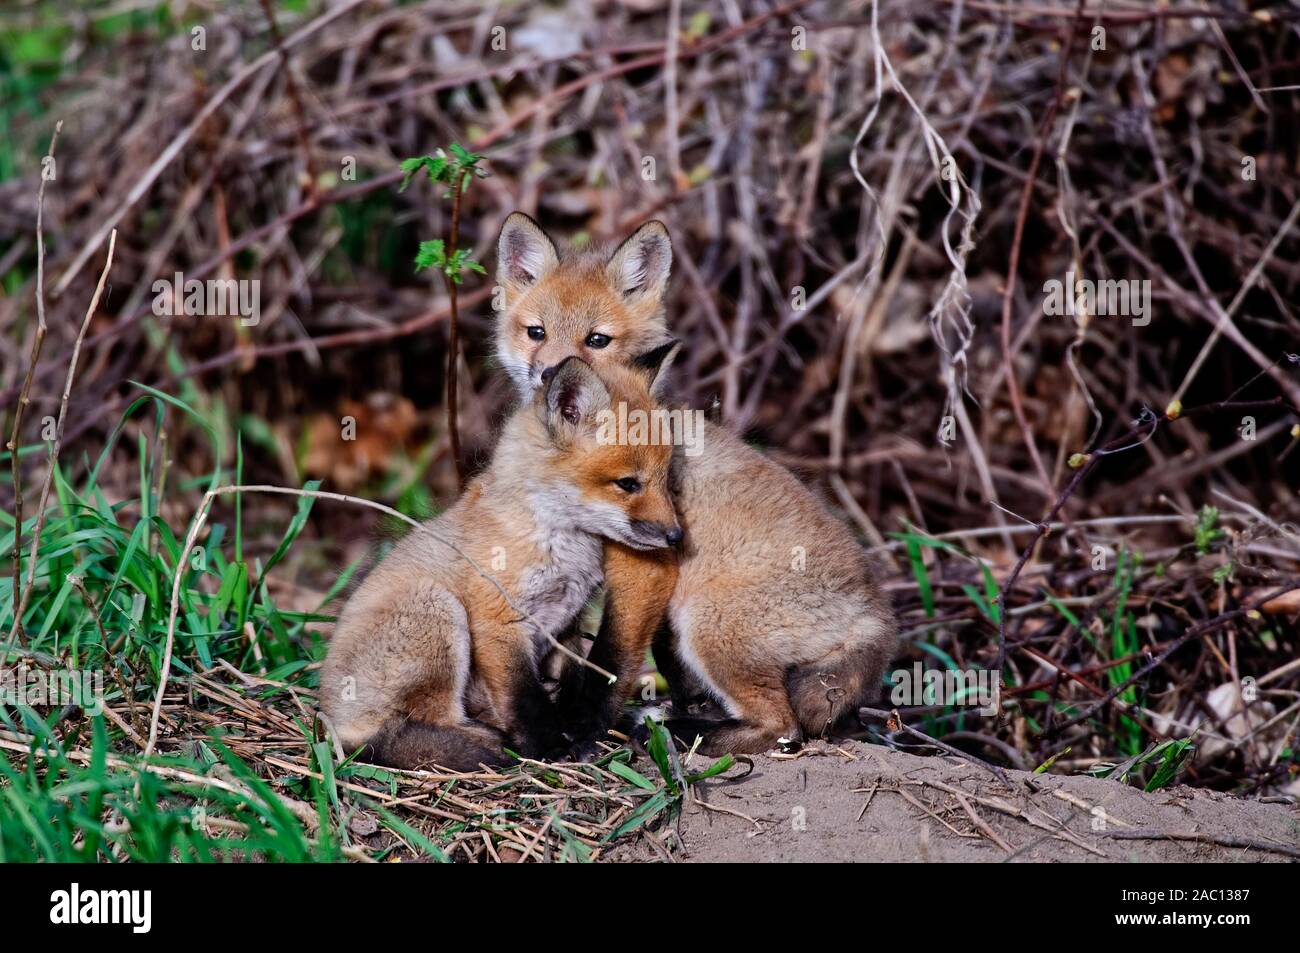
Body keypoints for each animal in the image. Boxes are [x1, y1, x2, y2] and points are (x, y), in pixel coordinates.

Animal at [319, 353, 680, 771]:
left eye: (665, 478)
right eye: (627, 484)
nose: (676, 537)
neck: (553, 538)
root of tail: (334, 727)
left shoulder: (566, 622)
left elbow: (570, 676)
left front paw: (573, 722)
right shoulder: (499, 620)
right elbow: (523, 699)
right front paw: (550, 748)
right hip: (439, 610)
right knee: (427, 723)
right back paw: (489, 744)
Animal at [495, 212, 898, 756]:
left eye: (597, 340)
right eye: (536, 332)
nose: (550, 374)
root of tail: (876, 618)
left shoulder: (643, 564)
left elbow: (610, 658)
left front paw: (581, 727)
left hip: (708, 621)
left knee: (782, 727)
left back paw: (688, 735)